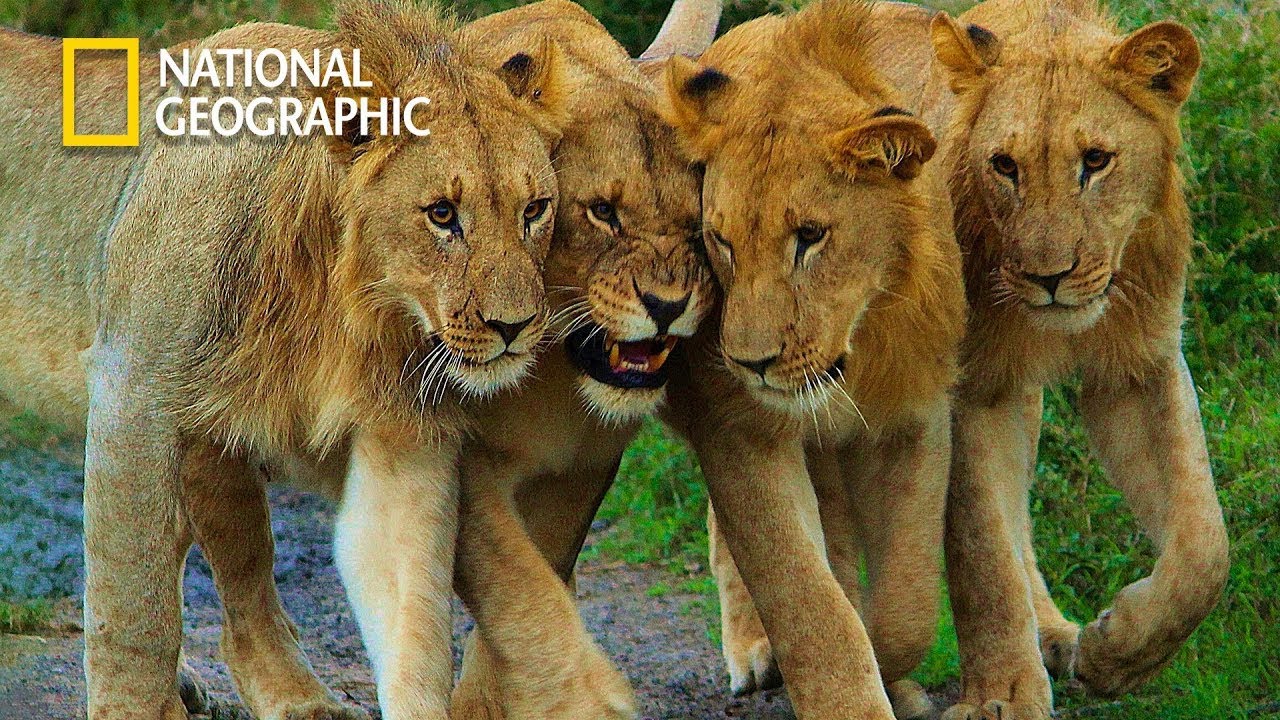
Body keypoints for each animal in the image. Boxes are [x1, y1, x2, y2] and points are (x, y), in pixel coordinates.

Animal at [0, 1, 576, 717]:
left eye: (535, 209)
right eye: (442, 214)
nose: (514, 327)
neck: (338, 294)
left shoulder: (401, 432)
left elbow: (413, 609)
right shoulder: (131, 388)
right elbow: (132, 604)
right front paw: (131, 706)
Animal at [655, 1, 968, 718]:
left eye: (810, 237)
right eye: (719, 239)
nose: (751, 363)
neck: (861, 336)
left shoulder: (920, 414)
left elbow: (908, 604)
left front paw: (894, 672)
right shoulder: (738, 427)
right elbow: (810, 606)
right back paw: (753, 651)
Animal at [897, 1, 1228, 718]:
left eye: (1096, 161)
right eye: (1004, 166)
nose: (1050, 278)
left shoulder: (1138, 366)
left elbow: (1203, 547)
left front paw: (1115, 652)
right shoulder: (964, 387)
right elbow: (982, 548)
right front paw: (1003, 696)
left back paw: (1054, 635)